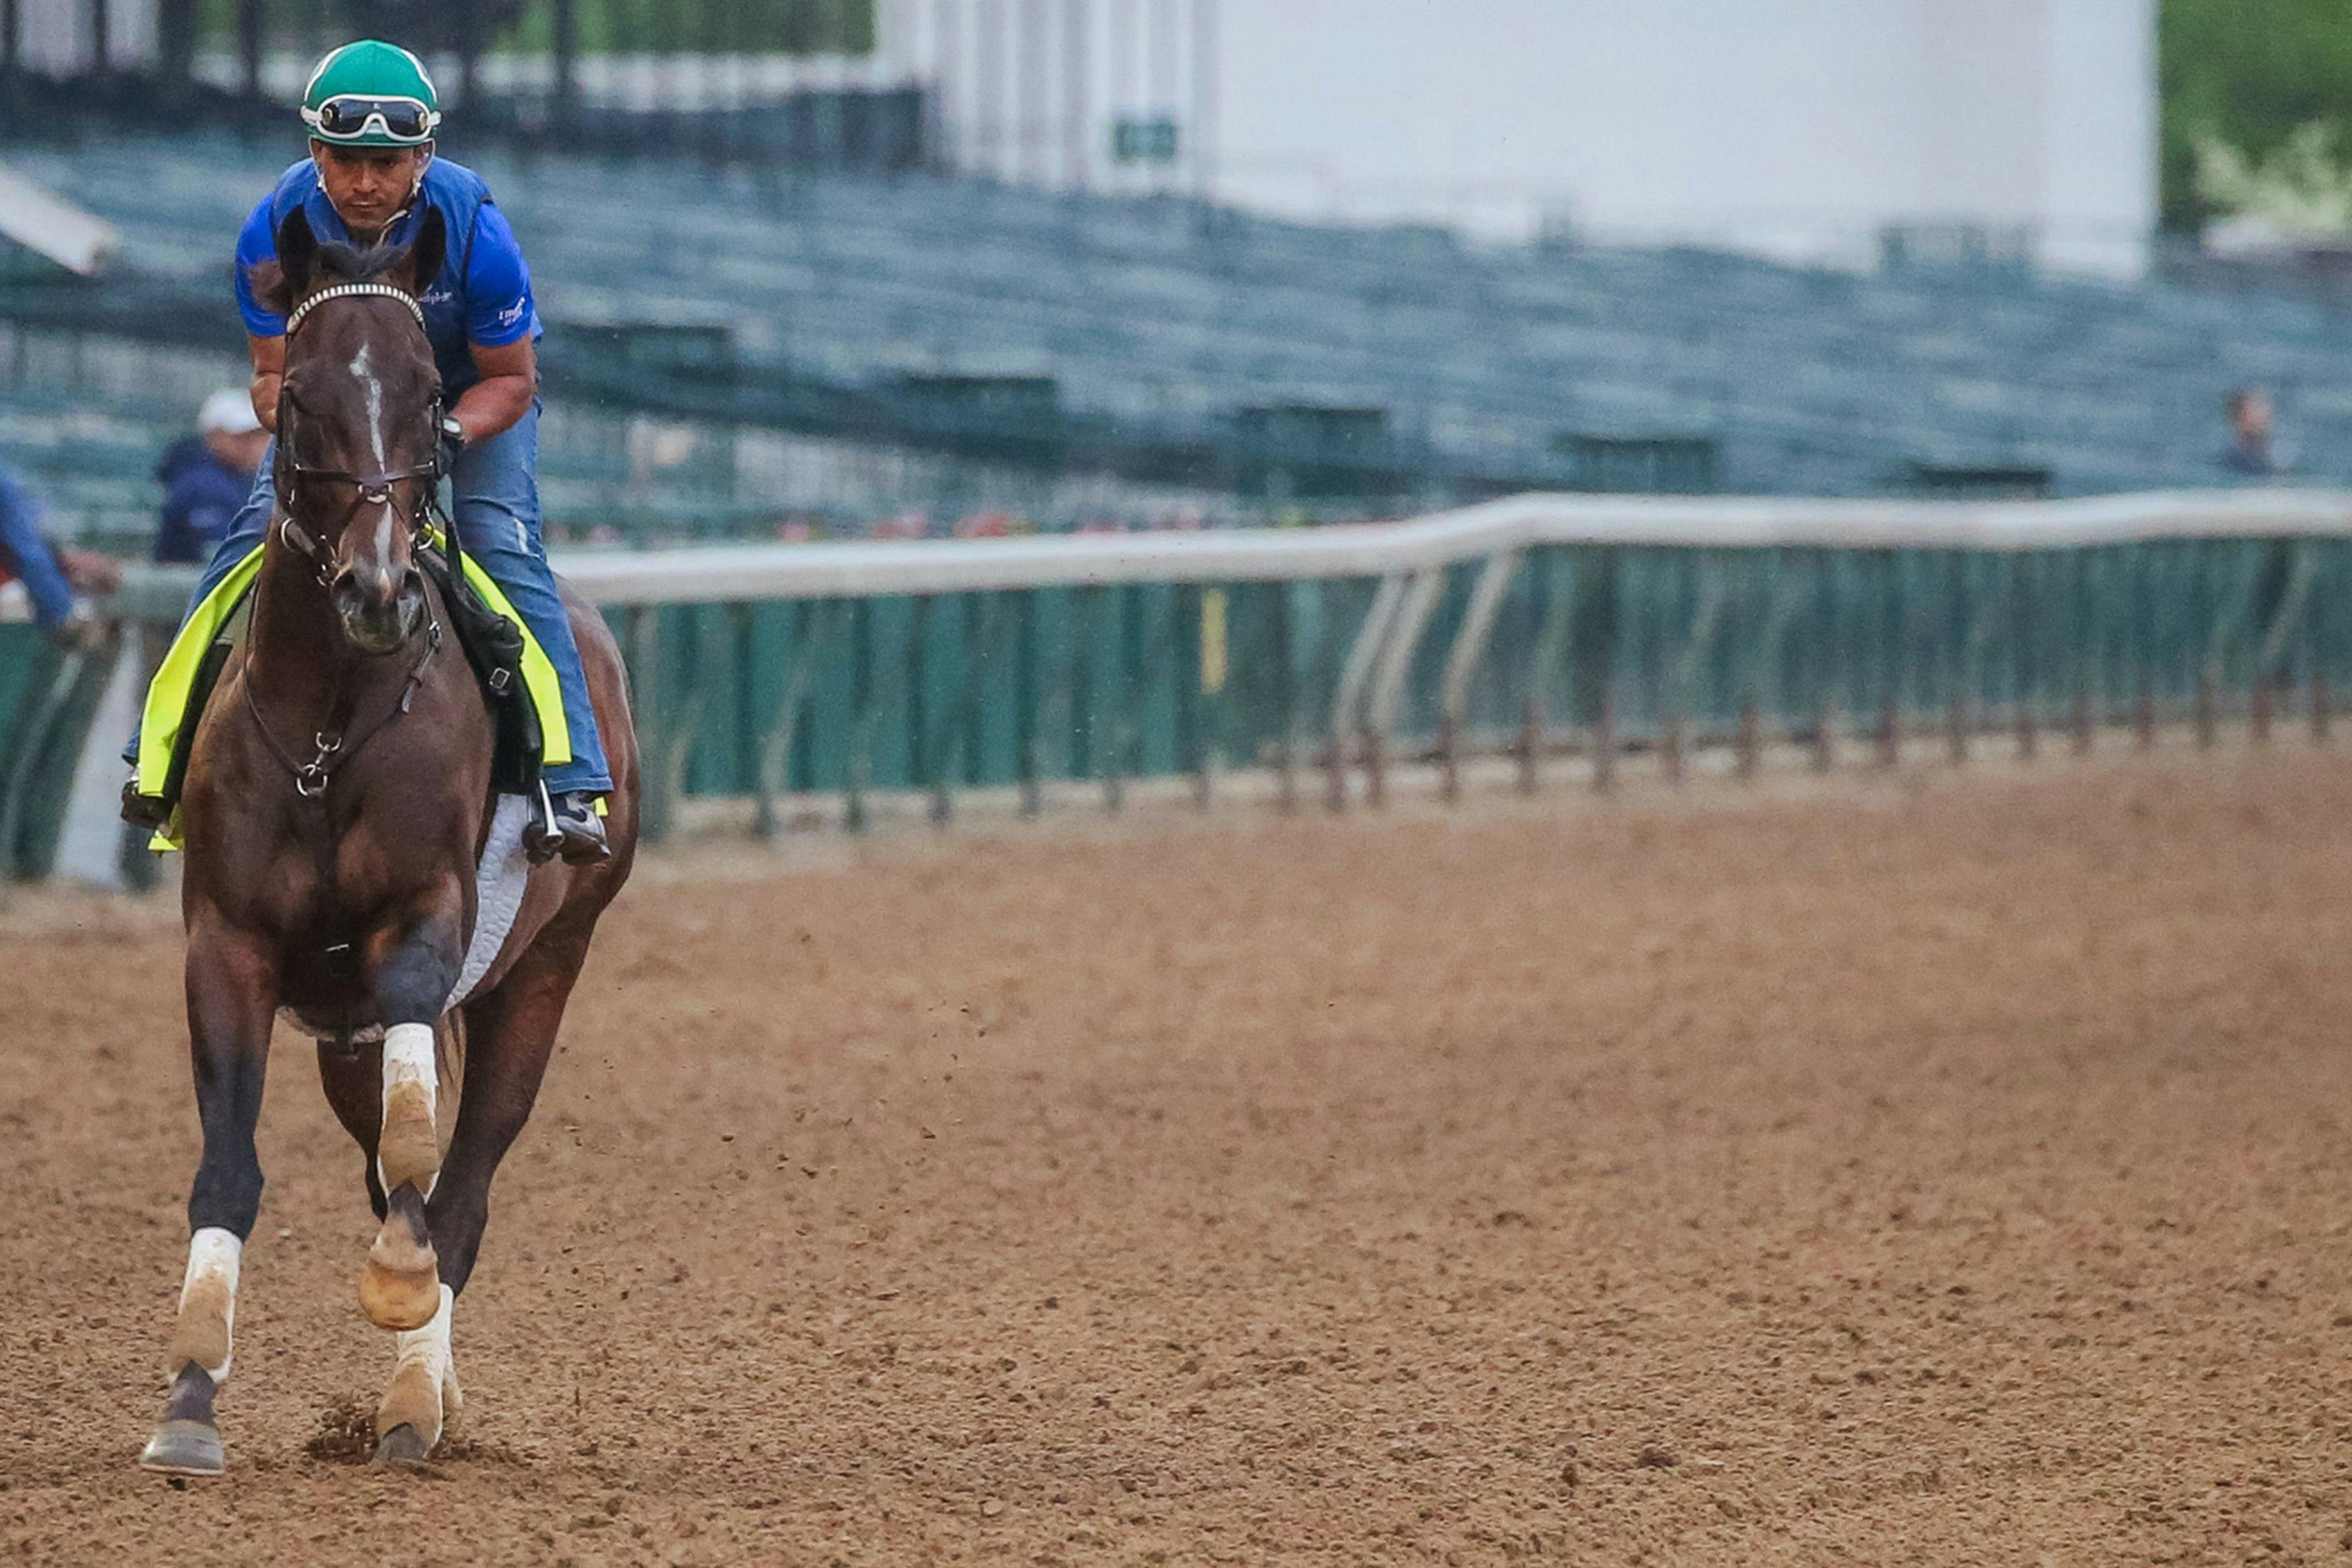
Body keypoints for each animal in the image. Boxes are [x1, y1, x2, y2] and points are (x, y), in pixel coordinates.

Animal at [138, 205, 638, 1474]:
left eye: (427, 394)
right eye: (305, 394)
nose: (378, 591)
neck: (330, 725)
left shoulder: (421, 921)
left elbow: (422, 1168)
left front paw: (403, 1297)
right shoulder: (229, 944)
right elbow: (232, 1167)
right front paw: (189, 1400)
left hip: (547, 966)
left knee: (463, 1189)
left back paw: (415, 1406)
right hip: (343, 1037)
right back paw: (426, 1389)